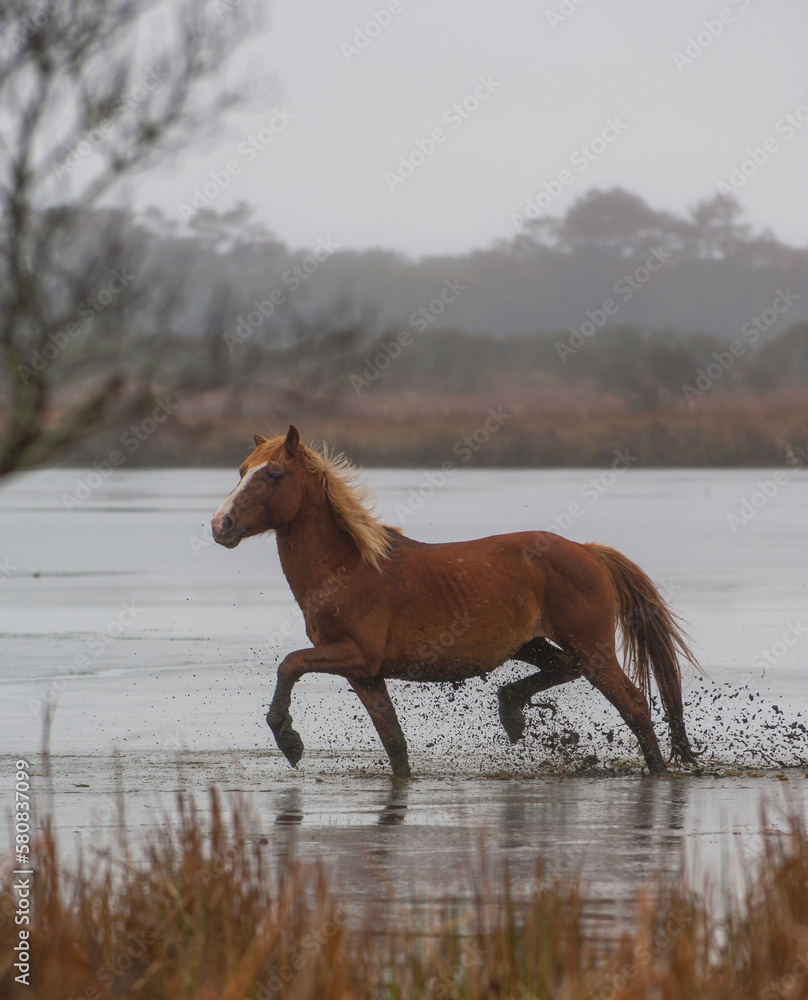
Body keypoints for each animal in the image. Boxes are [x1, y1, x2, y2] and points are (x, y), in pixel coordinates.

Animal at [211, 425, 700, 778]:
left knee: (634, 705)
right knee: (564, 668)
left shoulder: (354, 654)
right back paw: (512, 713)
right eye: (241, 470)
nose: (221, 525)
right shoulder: (365, 674)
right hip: (534, 643)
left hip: (593, 647)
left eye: (273, 474)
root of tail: (587, 550)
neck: (346, 568)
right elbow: (395, 744)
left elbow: (289, 663)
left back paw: (657, 770)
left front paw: (289, 740)